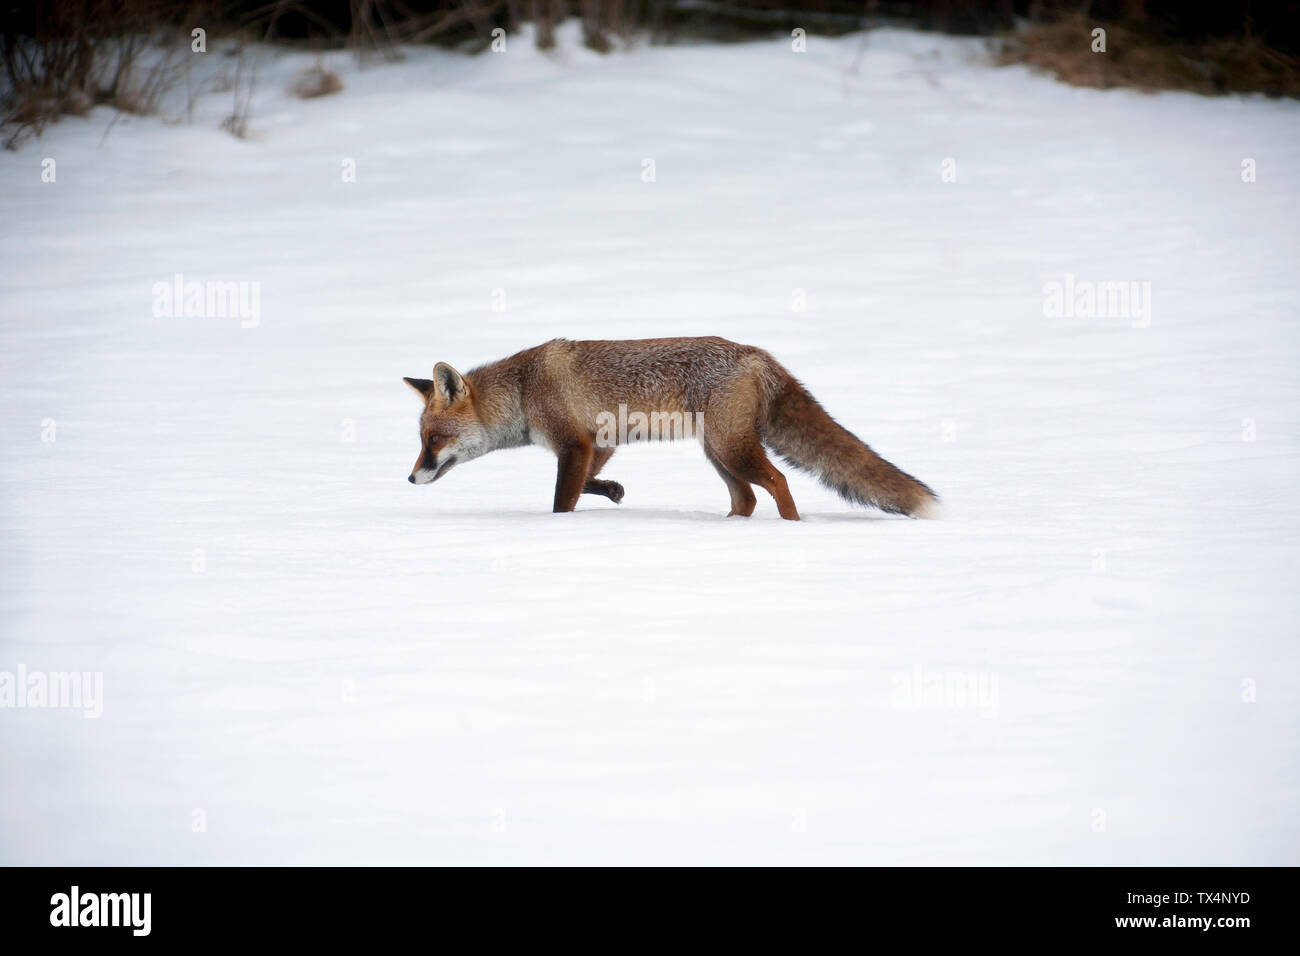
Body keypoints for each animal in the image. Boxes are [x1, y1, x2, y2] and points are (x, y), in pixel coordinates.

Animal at [404, 336, 939, 521]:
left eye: (435, 440)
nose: (410, 478)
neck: (523, 390)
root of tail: (759, 354)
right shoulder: (599, 443)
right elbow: (590, 484)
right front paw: (614, 492)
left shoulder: (574, 444)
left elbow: (562, 501)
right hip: (717, 454)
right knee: (746, 498)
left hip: (731, 447)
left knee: (778, 482)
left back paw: (791, 530)